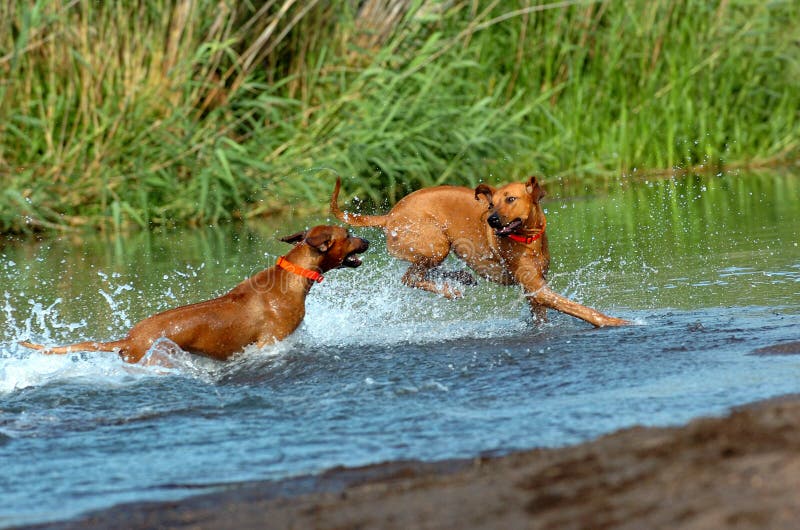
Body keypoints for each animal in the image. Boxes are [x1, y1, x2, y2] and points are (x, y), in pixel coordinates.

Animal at [328, 177, 628, 326]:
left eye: (511, 199)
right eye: (491, 203)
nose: (492, 220)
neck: (527, 238)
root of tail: (388, 215)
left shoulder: (534, 290)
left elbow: (541, 316)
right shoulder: (538, 288)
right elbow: (580, 308)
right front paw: (615, 321)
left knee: (424, 272)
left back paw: (461, 277)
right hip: (435, 243)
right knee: (411, 277)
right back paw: (451, 290)